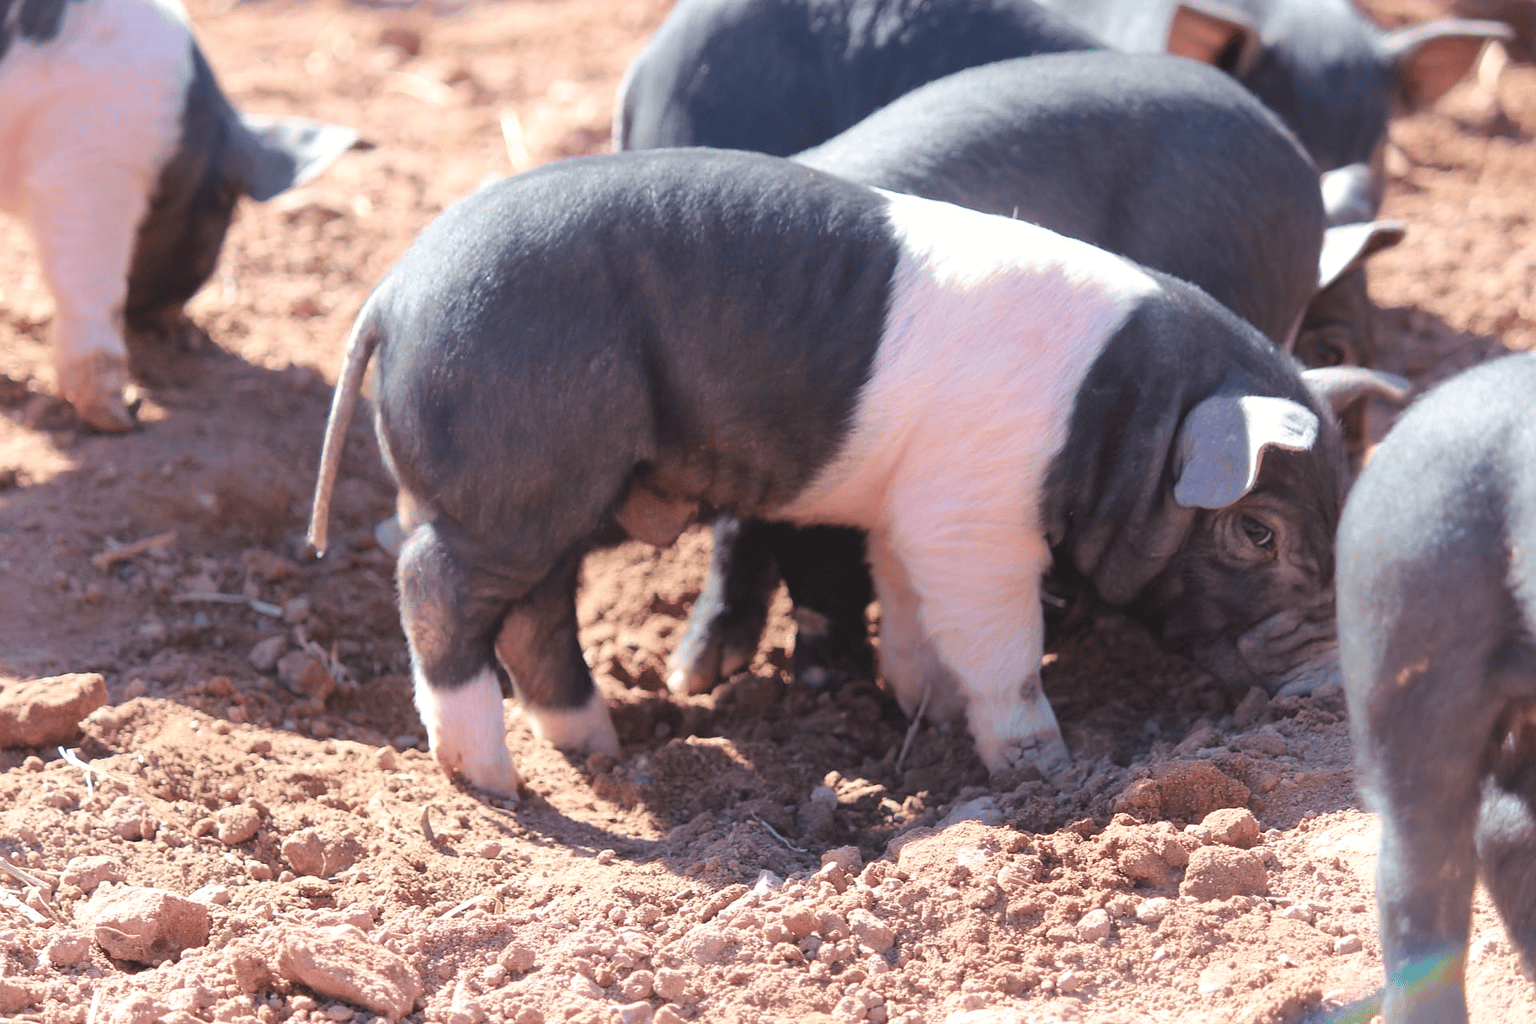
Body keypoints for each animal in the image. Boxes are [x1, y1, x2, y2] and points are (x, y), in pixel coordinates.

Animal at [309, 148, 1360, 796]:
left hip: (553, 495)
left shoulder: (912, 514)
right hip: (503, 483)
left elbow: (911, 610)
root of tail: (394, 293)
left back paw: (600, 748)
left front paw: (925, 708)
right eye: (1258, 530)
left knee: (534, 614)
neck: (1118, 415)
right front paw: (1046, 771)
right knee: (437, 590)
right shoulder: (976, 517)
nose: (1328, 678)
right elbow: (1003, 651)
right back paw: (492, 780)